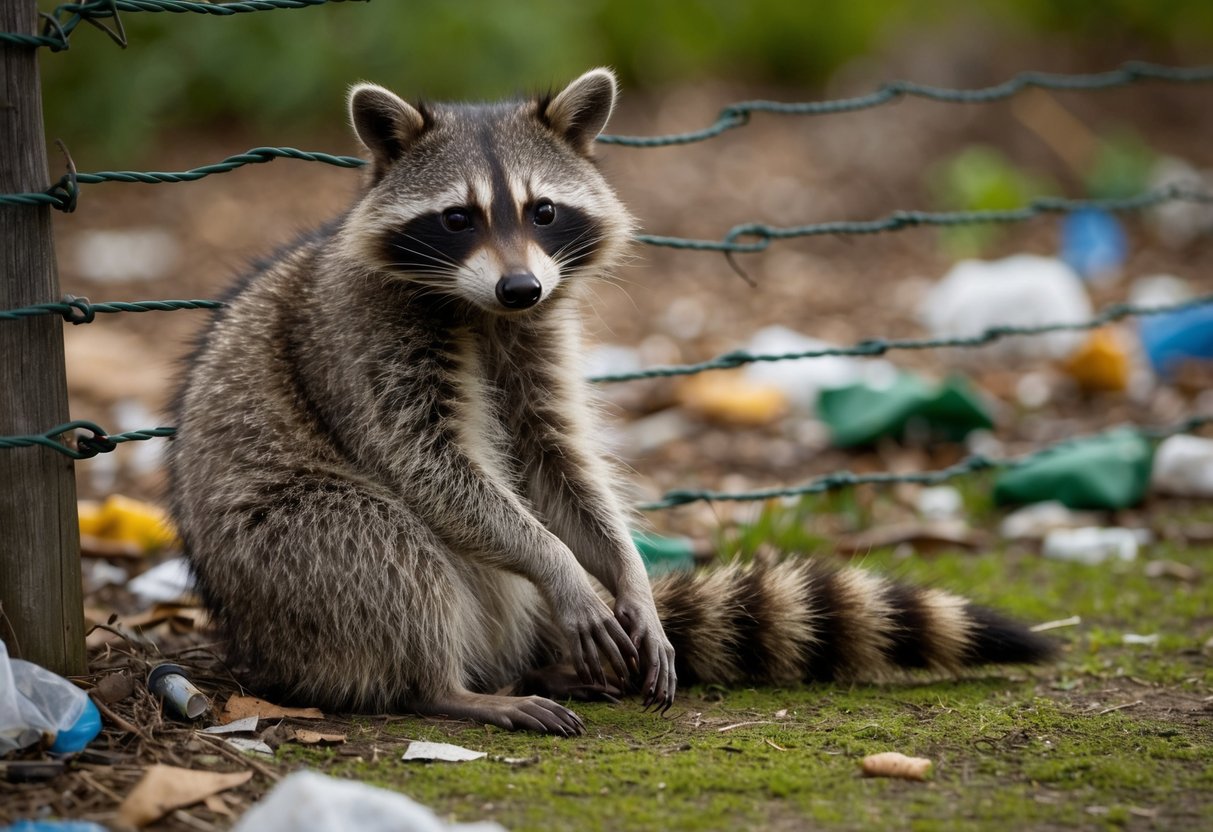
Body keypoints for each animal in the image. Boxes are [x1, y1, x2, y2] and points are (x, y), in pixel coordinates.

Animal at [168, 69, 1054, 735]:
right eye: (457, 218)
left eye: (542, 211)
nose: (519, 287)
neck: (479, 308)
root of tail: (258, 646)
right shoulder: (358, 337)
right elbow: (429, 469)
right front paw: (561, 567)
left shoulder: (537, 334)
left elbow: (556, 461)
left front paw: (626, 576)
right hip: (278, 564)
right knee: (374, 549)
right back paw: (443, 683)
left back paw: (536, 665)